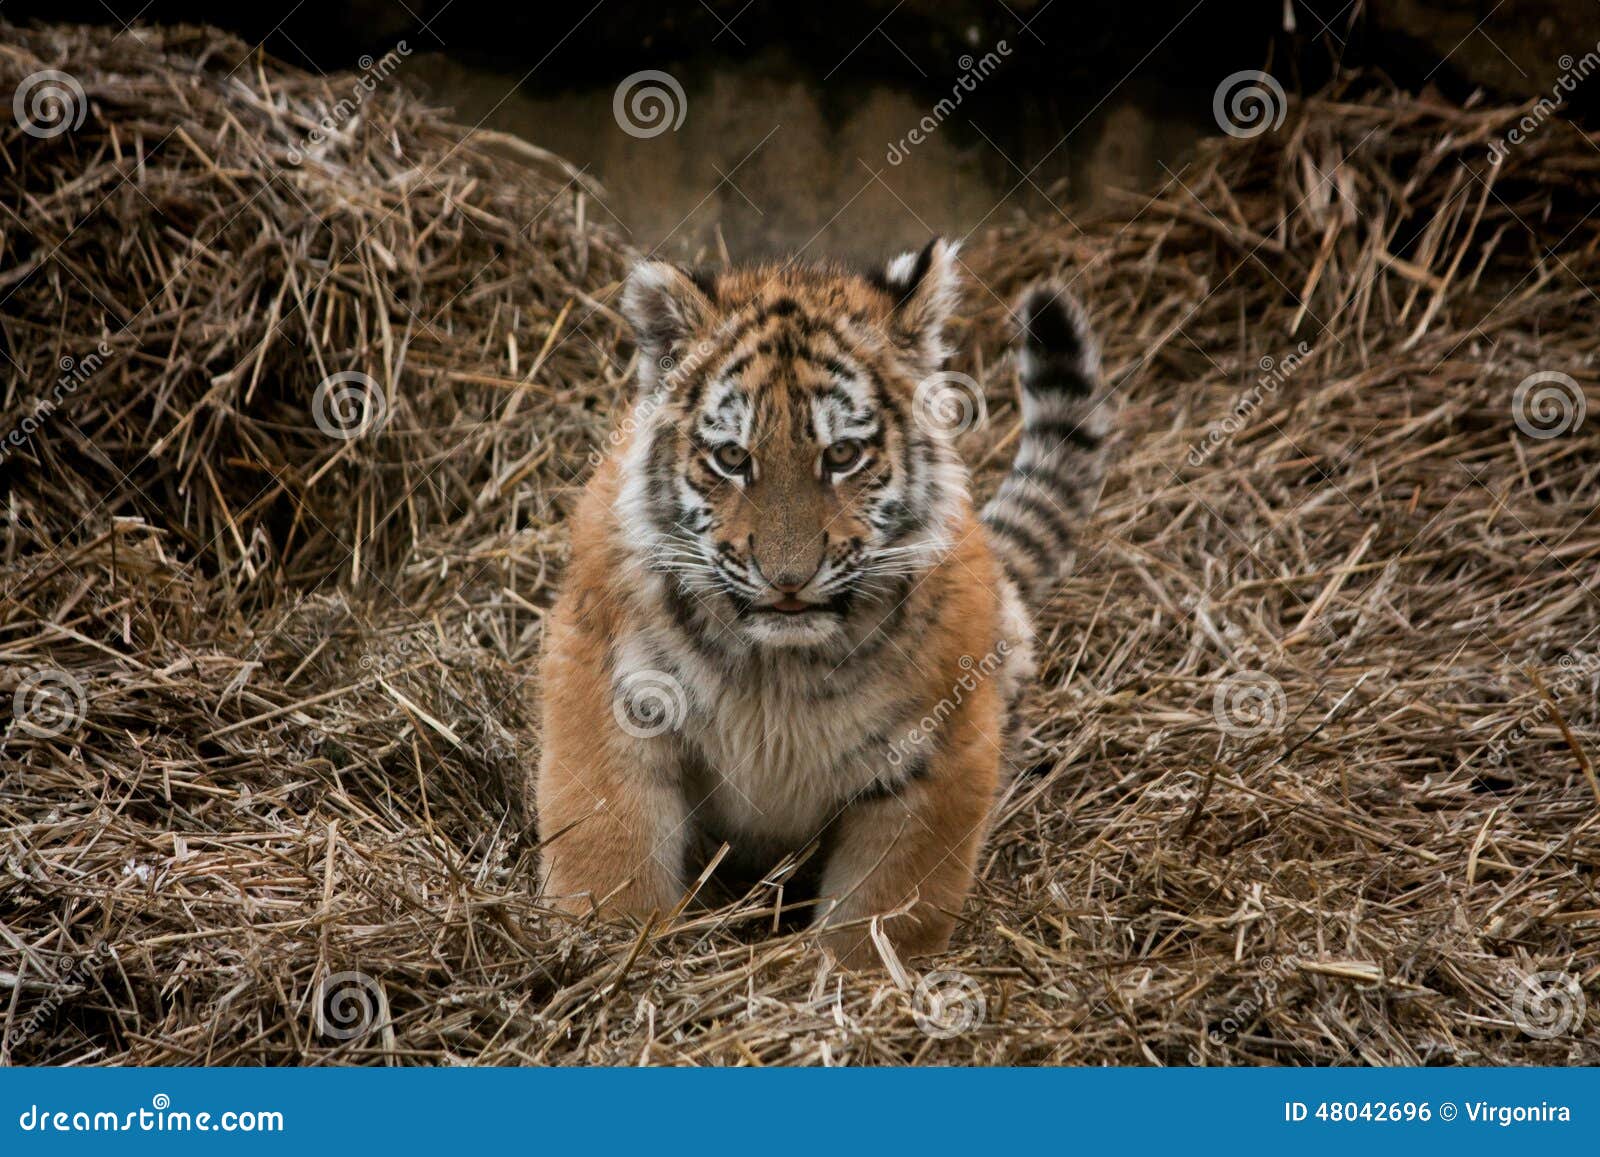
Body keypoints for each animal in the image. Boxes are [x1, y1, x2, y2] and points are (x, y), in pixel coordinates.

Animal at [534, 238, 1115, 966]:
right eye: (732, 458)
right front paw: (610, 949)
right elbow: (608, 847)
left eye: (842, 454)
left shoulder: (941, 744)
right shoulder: (605, 691)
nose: (788, 579)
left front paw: (858, 974)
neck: (778, 666)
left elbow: (887, 903)